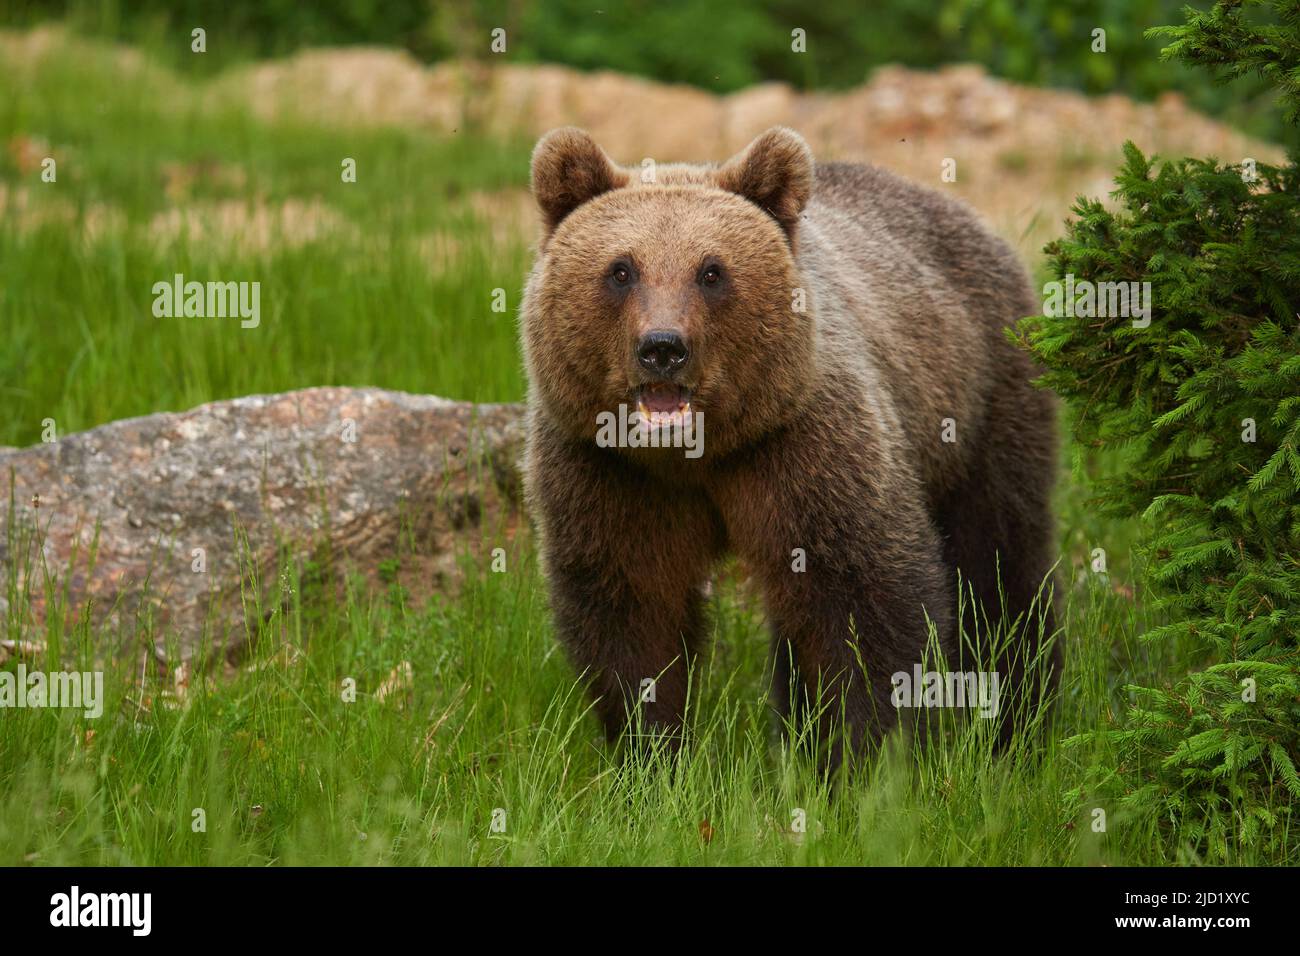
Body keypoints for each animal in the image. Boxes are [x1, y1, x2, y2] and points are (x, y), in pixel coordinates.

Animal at [520, 126, 1060, 770]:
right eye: (621, 270)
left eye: (712, 271)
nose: (663, 348)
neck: (698, 453)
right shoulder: (610, 470)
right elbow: (633, 608)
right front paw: (651, 755)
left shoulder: (804, 445)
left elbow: (862, 602)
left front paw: (868, 759)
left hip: (983, 397)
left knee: (998, 561)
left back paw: (1019, 720)